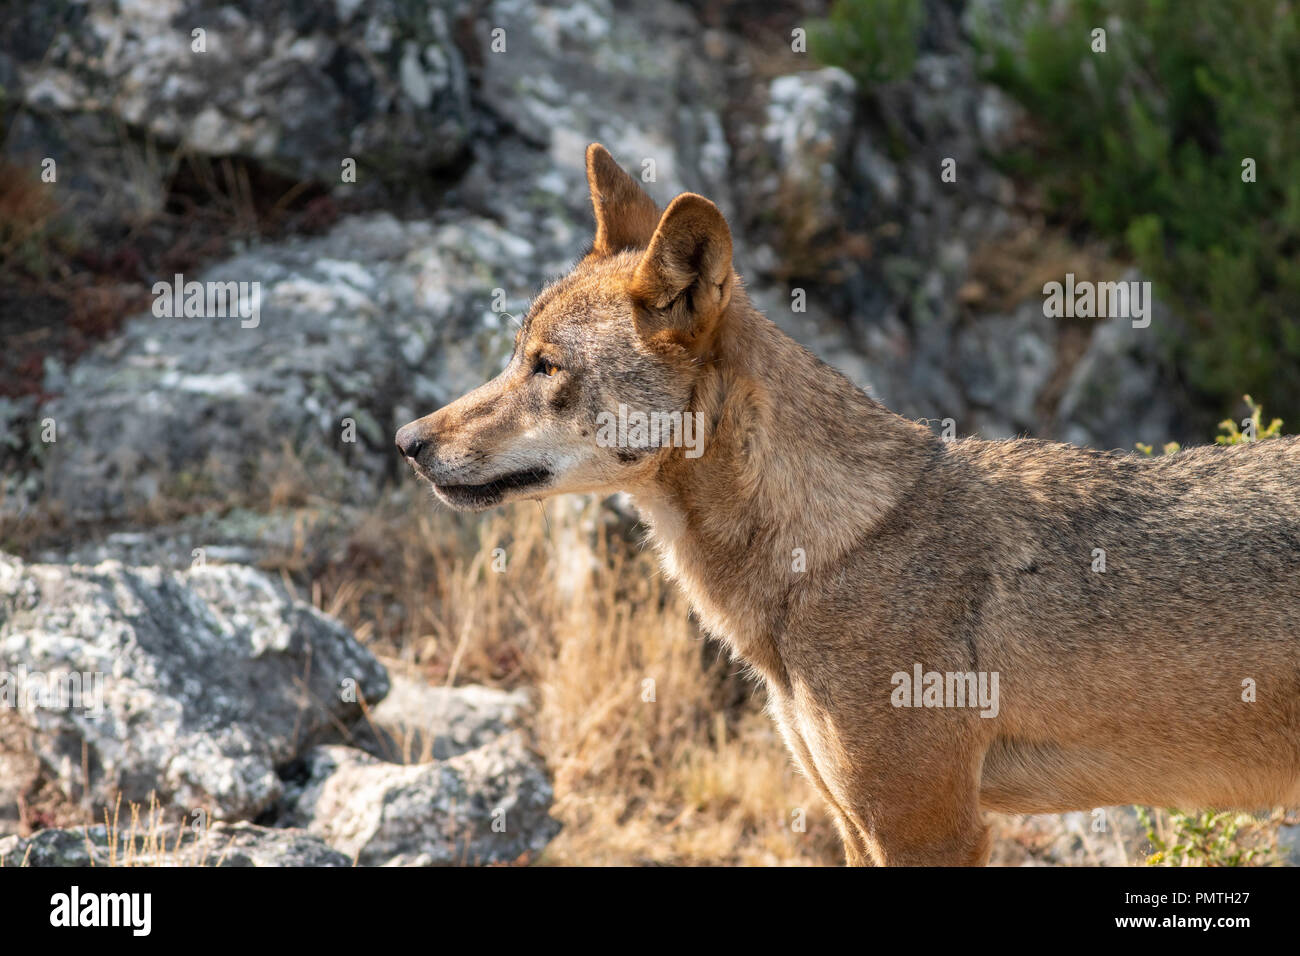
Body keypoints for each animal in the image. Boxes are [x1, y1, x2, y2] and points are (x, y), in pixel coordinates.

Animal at [396, 144, 1300, 865]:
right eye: (518, 356)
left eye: (546, 367)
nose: (408, 439)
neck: (827, 552)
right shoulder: (852, 821)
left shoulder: (927, 828)